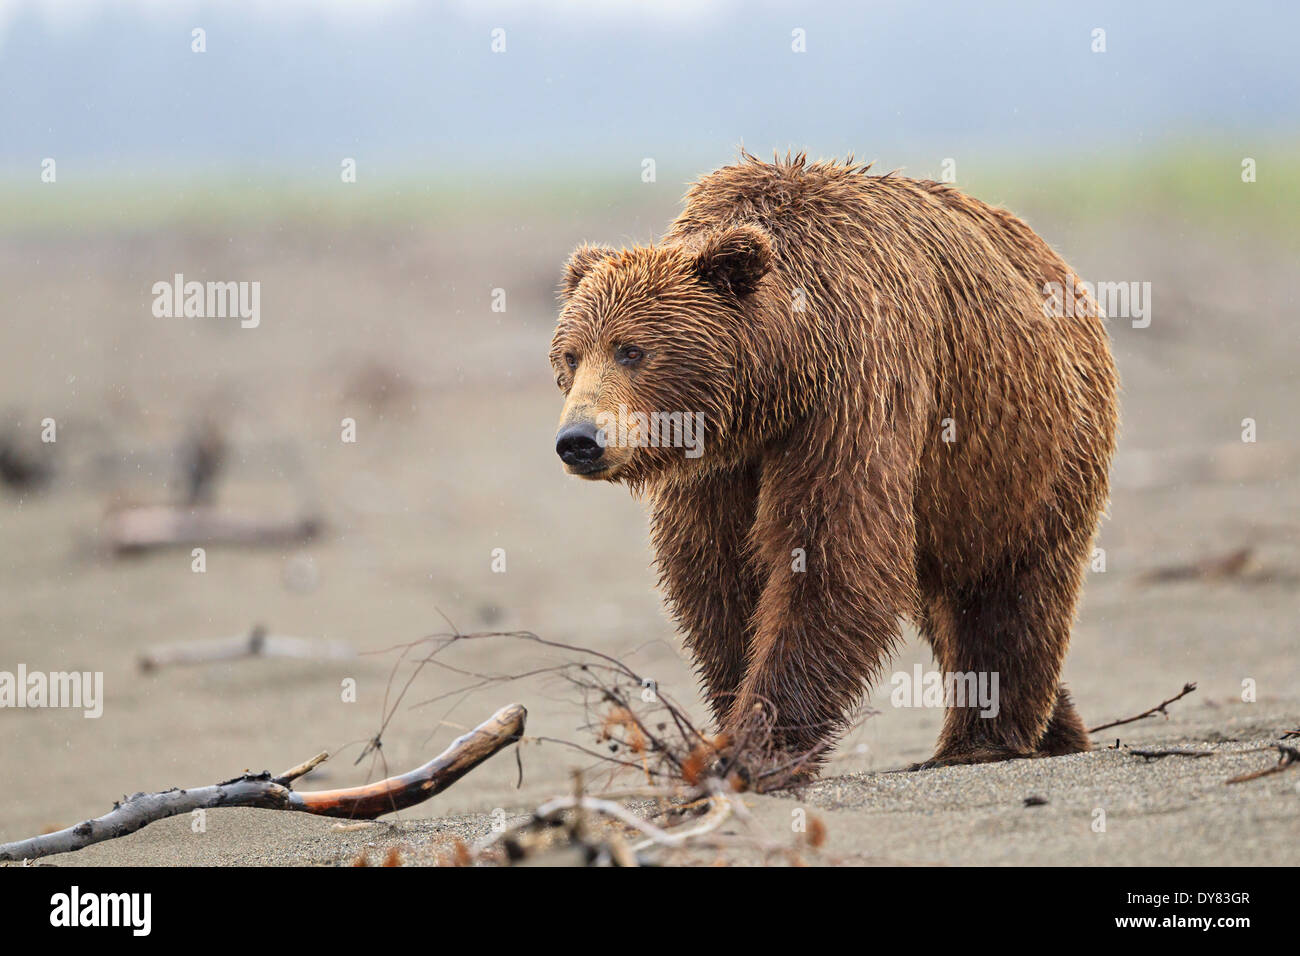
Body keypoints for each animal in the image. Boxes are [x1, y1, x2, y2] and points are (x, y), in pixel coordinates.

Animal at [549, 152, 1118, 783]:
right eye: (571, 354)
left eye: (632, 350)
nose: (579, 440)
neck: (778, 378)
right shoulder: (720, 460)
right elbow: (717, 572)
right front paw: (736, 718)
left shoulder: (856, 390)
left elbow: (832, 554)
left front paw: (755, 750)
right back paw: (1060, 728)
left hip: (1028, 452)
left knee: (1014, 587)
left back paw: (984, 739)